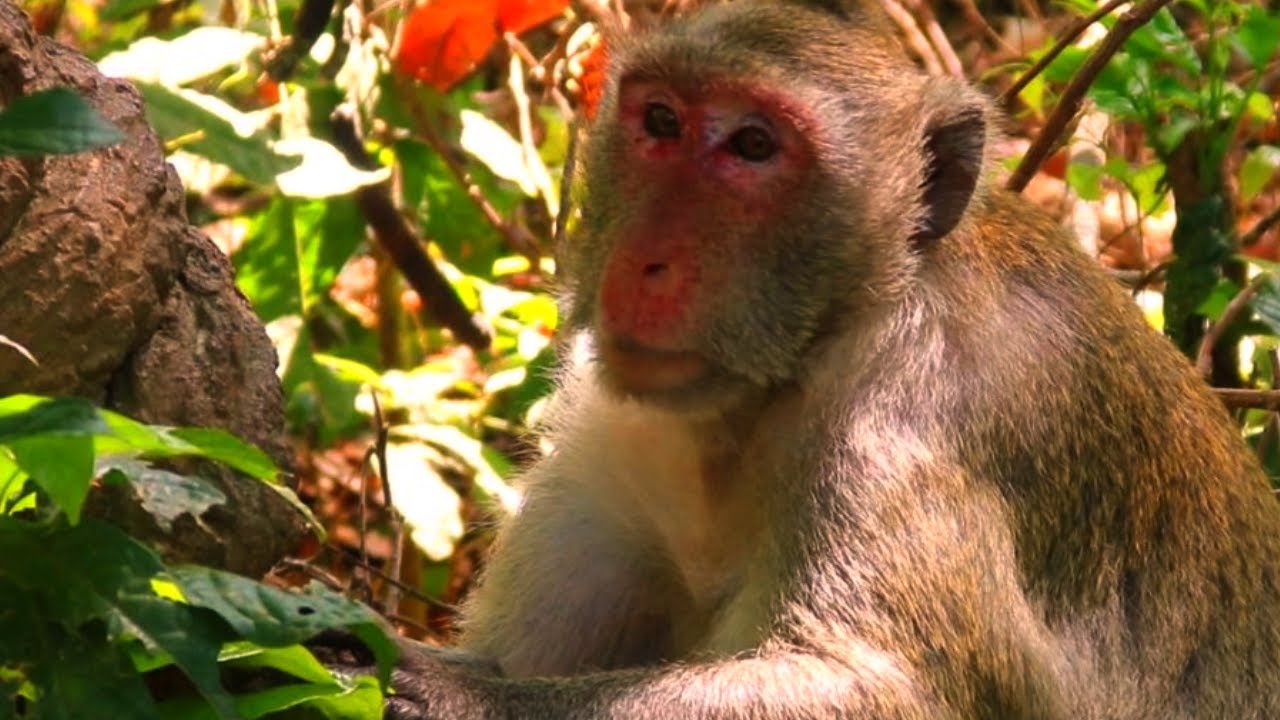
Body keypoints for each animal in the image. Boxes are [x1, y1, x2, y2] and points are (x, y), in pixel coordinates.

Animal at [367, 0, 1280, 717]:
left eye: (753, 145)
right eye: (660, 122)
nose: (644, 261)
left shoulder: (913, 428)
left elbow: (882, 687)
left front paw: (456, 696)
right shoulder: (616, 444)